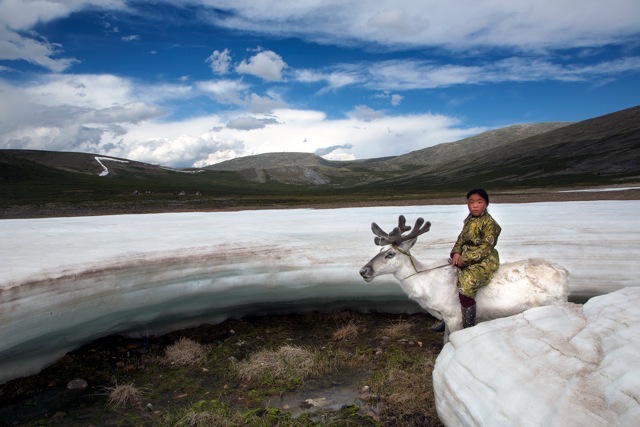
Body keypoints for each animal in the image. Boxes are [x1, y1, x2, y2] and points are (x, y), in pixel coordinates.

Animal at [359, 215, 569, 342]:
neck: (425, 282)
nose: (363, 270)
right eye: (380, 249)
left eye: (390, 254)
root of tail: (564, 272)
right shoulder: (445, 318)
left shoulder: (454, 317)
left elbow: (448, 341)